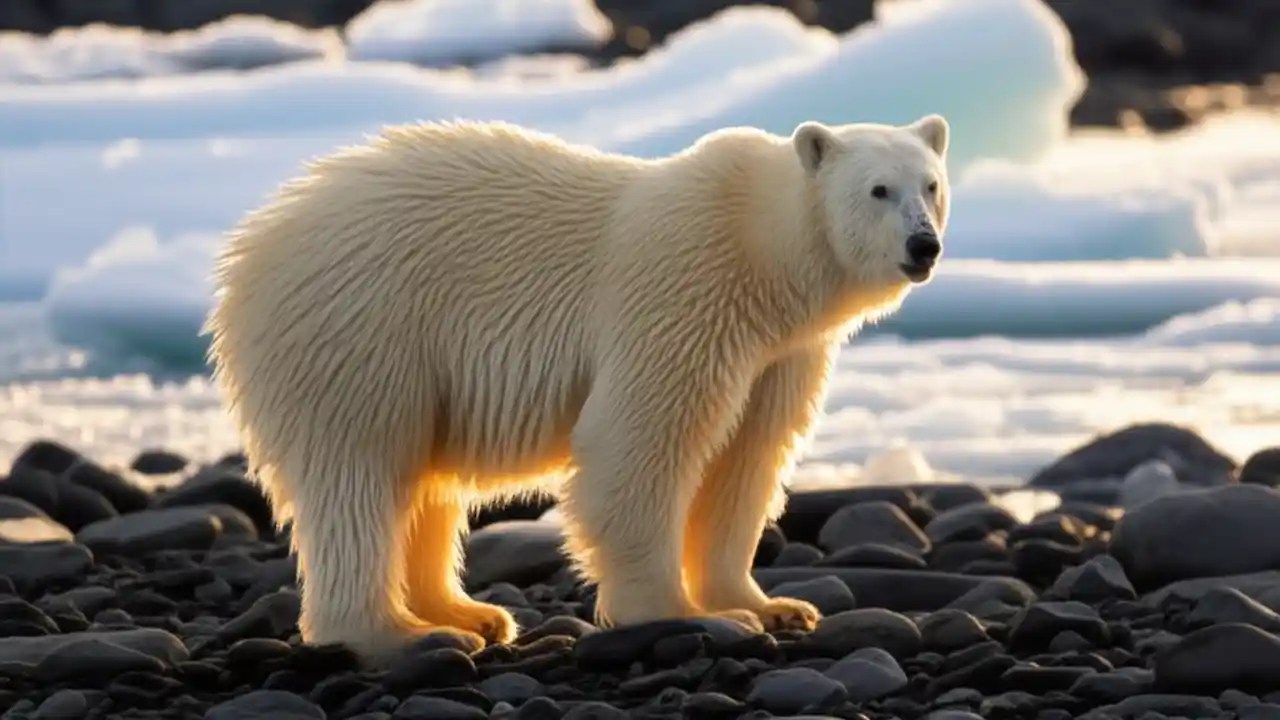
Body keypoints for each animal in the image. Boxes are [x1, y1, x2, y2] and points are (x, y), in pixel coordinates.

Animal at [204, 114, 950, 665]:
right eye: (879, 190)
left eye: (932, 184)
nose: (924, 246)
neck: (764, 251)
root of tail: (247, 254)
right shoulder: (686, 291)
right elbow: (641, 440)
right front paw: (675, 610)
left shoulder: (780, 351)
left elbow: (748, 458)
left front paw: (770, 605)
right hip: (361, 327)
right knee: (361, 472)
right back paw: (400, 633)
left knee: (424, 482)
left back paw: (467, 612)